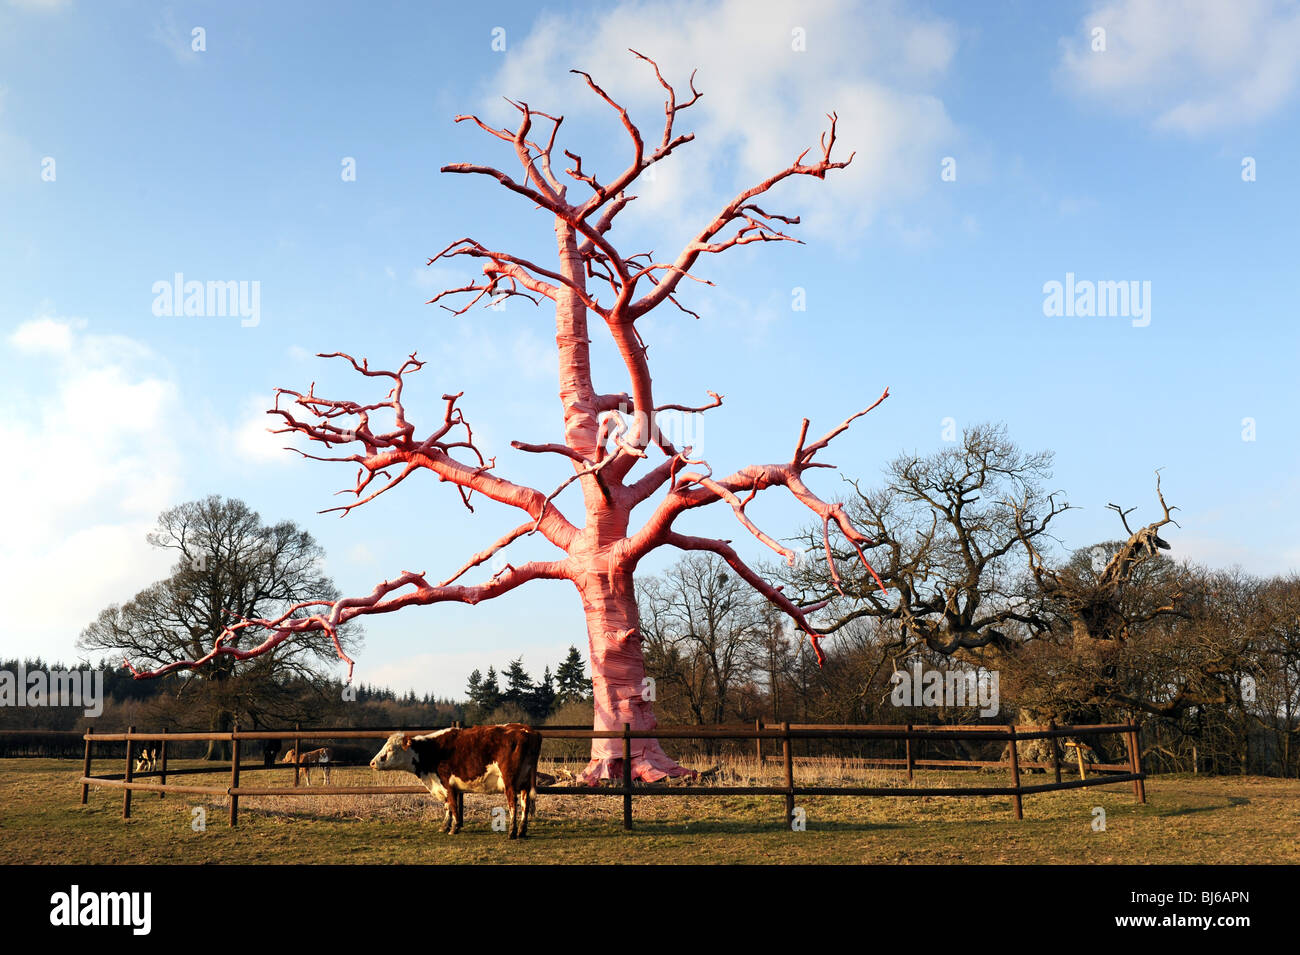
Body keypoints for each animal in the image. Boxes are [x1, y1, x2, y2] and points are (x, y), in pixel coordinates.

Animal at [369, 724, 543, 839]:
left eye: (391, 749)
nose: (372, 762)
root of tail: (527, 730)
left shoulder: (447, 784)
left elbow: (453, 805)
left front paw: (454, 828)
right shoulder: (443, 786)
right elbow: (448, 806)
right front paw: (444, 826)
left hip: (509, 781)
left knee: (513, 803)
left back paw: (512, 832)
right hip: (525, 783)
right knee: (526, 804)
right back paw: (521, 831)